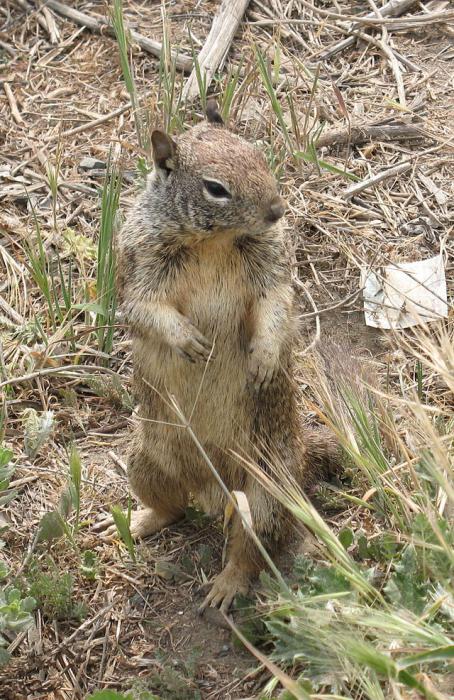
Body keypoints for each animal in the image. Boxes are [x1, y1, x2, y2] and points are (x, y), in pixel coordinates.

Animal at [115, 100, 338, 612]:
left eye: (258, 155)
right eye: (215, 188)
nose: (277, 210)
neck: (211, 243)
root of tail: (213, 486)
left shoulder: (272, 267)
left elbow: (275, 306)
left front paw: (264, 360)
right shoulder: (140, 267)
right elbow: (145, 310)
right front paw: (188, 341)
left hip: (267, 493)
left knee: (251, 549)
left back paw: (226, 586)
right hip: (145, 459)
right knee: (173, 506)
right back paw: (139, 522)